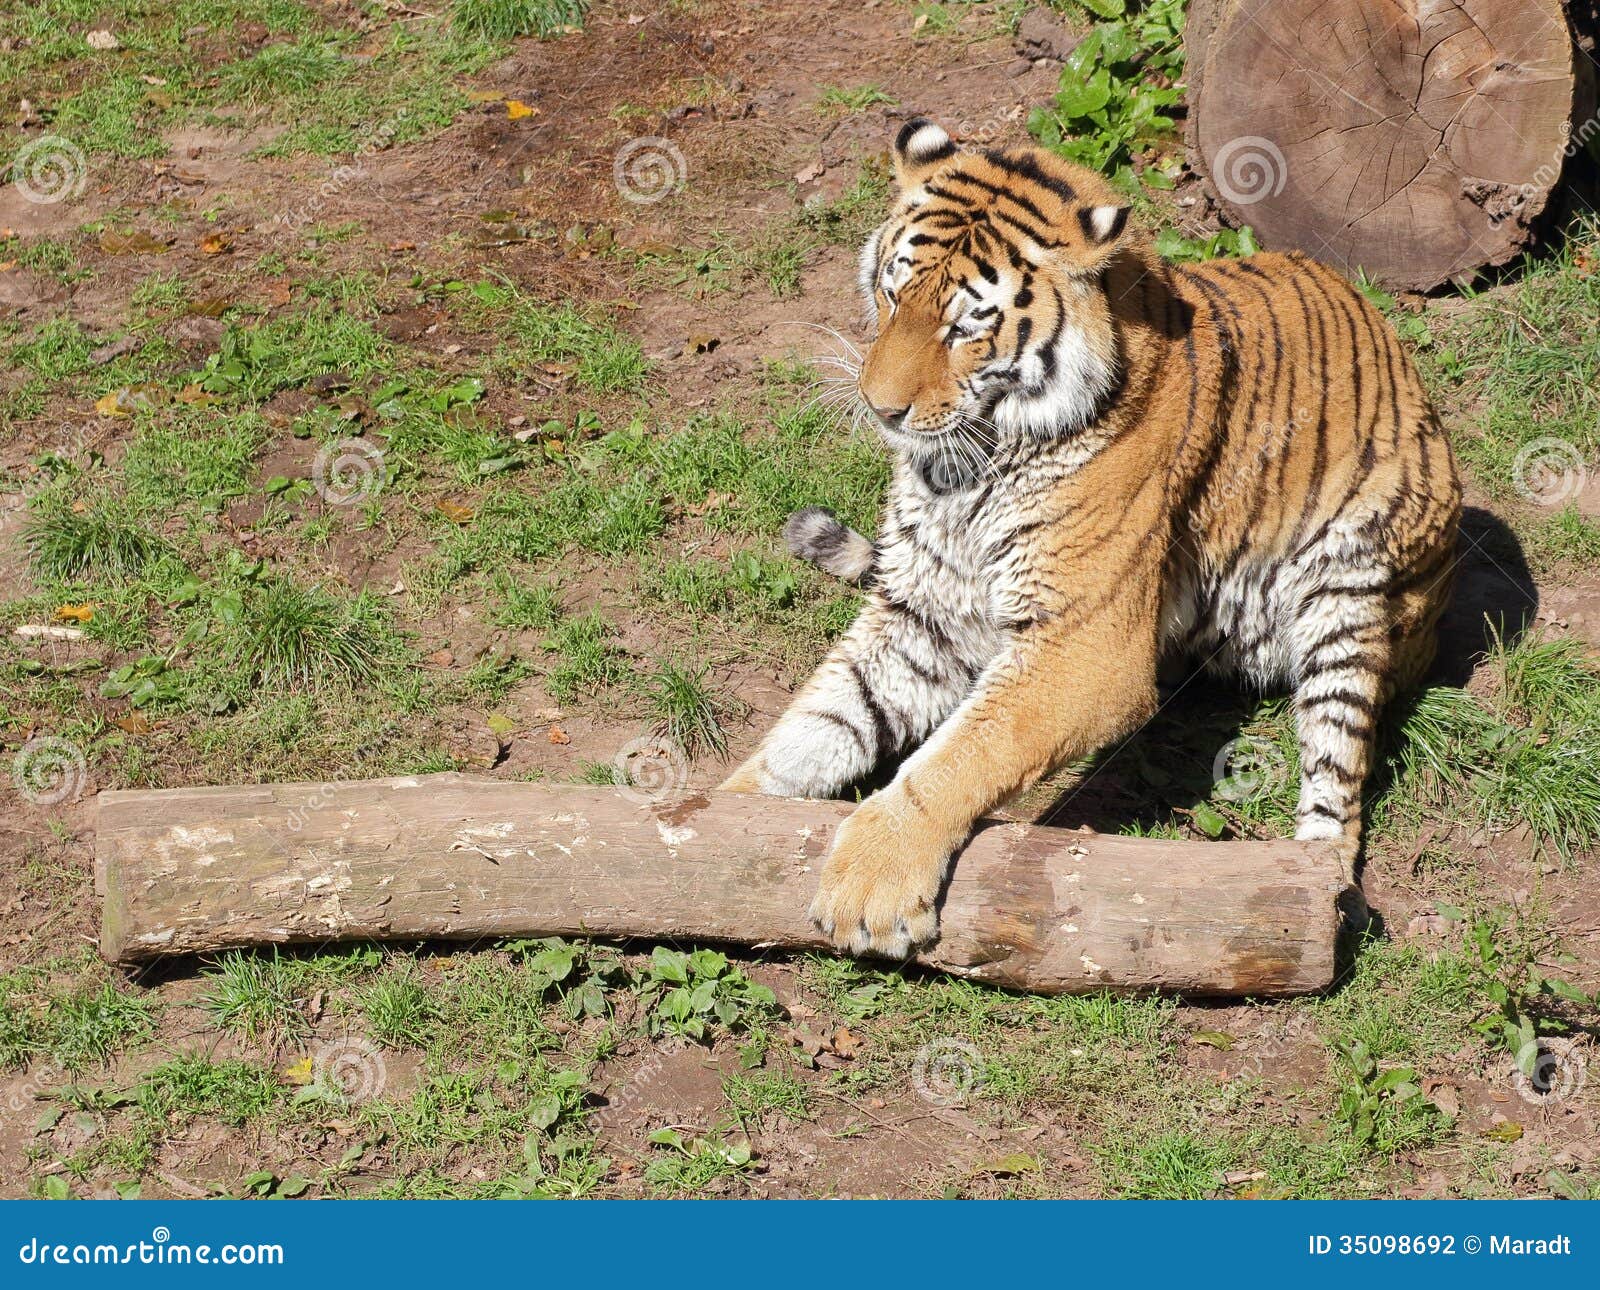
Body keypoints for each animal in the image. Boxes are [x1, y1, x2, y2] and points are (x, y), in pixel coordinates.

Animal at [720, 118, 1461, 959]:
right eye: (891, 291)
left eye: (965, 326)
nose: (880, 408)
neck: (970, 465)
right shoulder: (925, 608)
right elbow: (821, 723)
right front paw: (715, 818)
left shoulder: (1086, 643)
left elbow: (961, 754)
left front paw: (871, 880)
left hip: (1355, 585)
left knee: (1339, 787)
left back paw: (1316, 888)